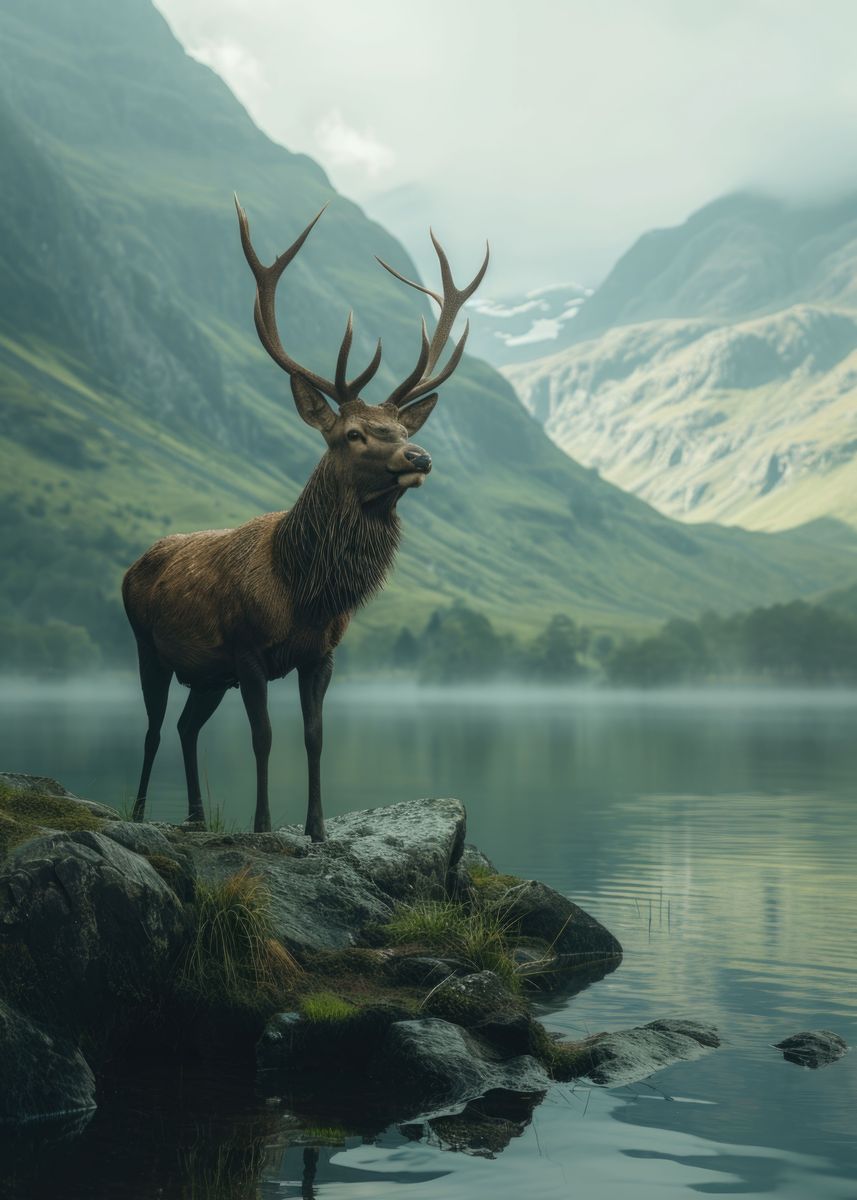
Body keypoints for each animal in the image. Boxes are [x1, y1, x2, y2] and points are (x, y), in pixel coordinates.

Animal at [122, 199, 488, 841]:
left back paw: (196, 818)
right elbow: (263, 737)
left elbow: (315, 738)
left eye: (402, 428)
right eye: (354, 434)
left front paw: (317, 830)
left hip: (206, 674)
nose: (419, 457)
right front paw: (263, 825)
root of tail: (130, 567)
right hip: (149, 647)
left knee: (187, 728)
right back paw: (144, 813)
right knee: (152, 729)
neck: (302, 591)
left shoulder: (321, 655)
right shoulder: (247, 651)